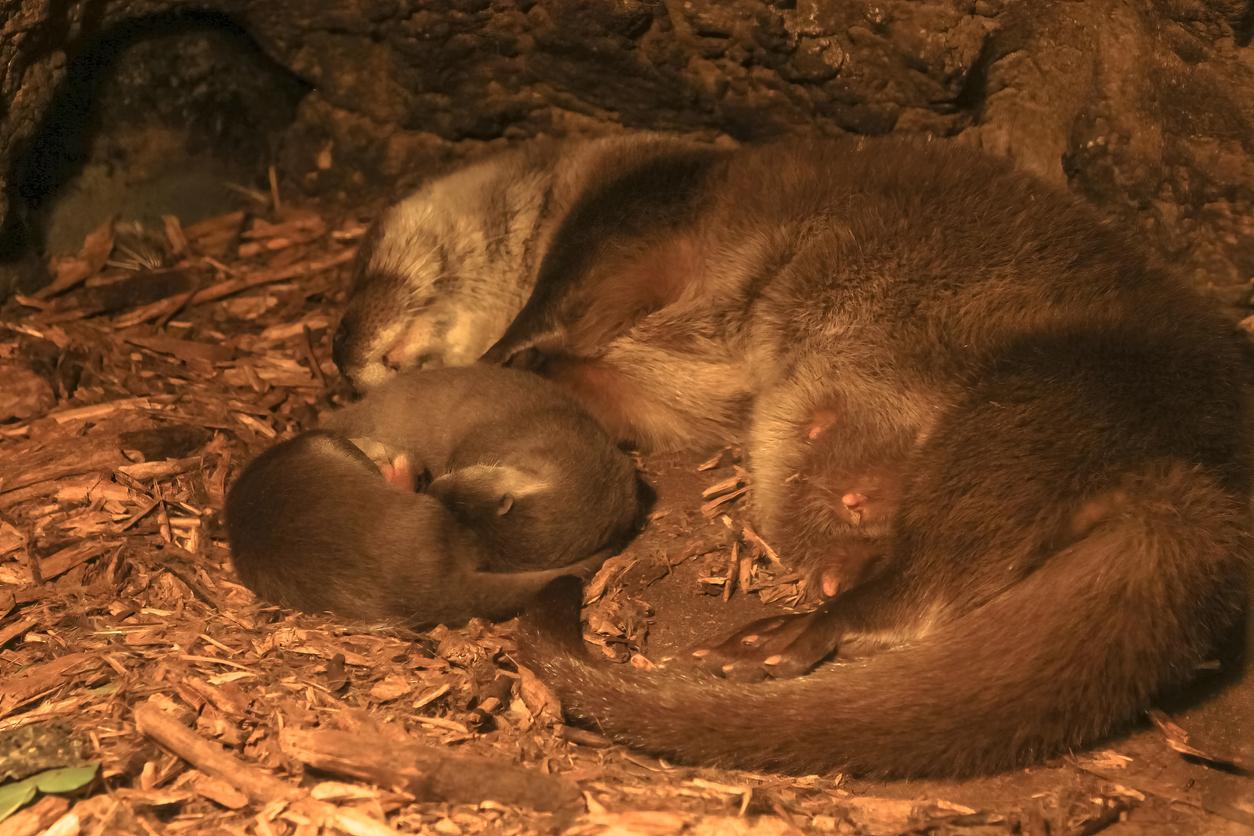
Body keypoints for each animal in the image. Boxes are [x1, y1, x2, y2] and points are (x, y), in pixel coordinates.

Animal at [336, 134, 1250, 777]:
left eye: (362, 270)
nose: (342, 354)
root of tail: (1204, 484)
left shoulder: (634, 211)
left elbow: (560, 295)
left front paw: (503, 351)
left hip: (1031, 404)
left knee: (933, 587)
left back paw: (776, 638)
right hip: (812, 450)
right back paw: (833, 573)